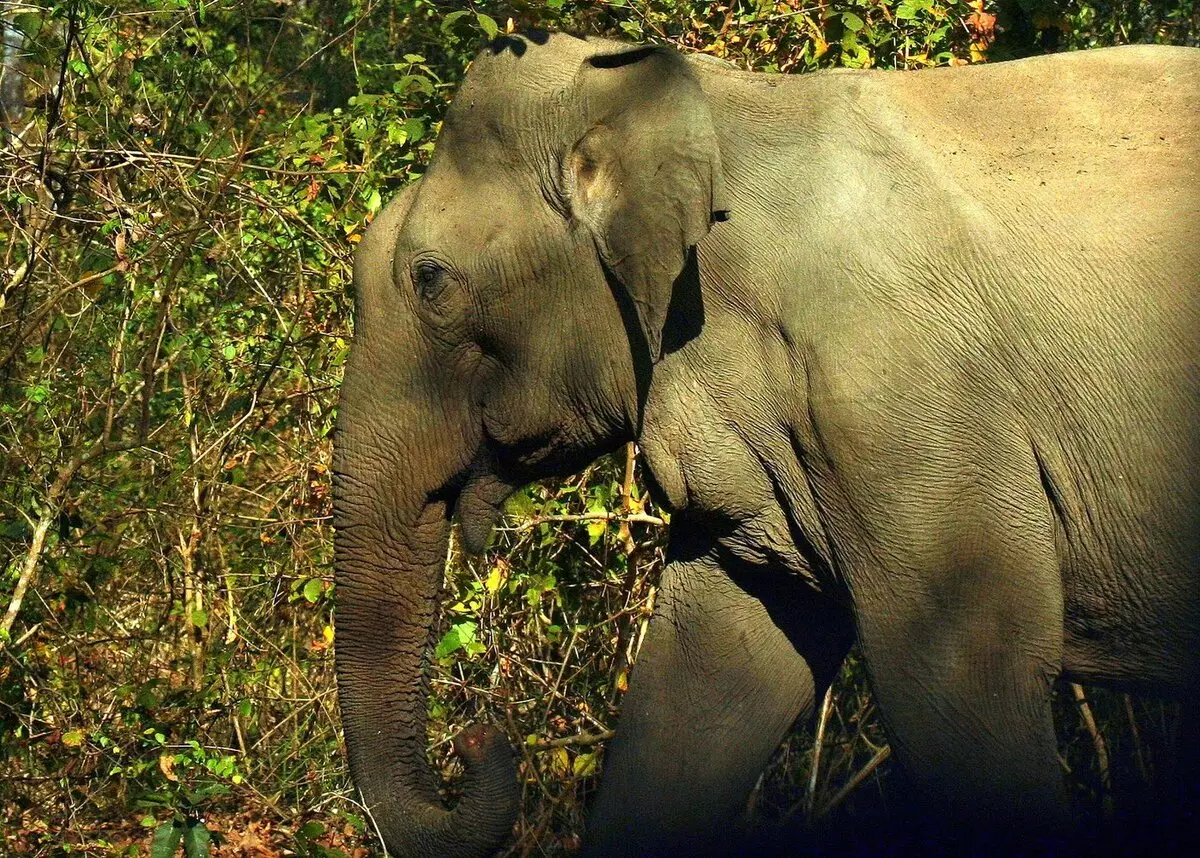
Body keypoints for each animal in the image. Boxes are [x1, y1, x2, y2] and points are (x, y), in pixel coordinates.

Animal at [331, 31, 1200, 858]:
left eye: (431, 280)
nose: (477, 739)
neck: (711, 103)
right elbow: (713, 670)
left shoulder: (907, 398)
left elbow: (969, 666)